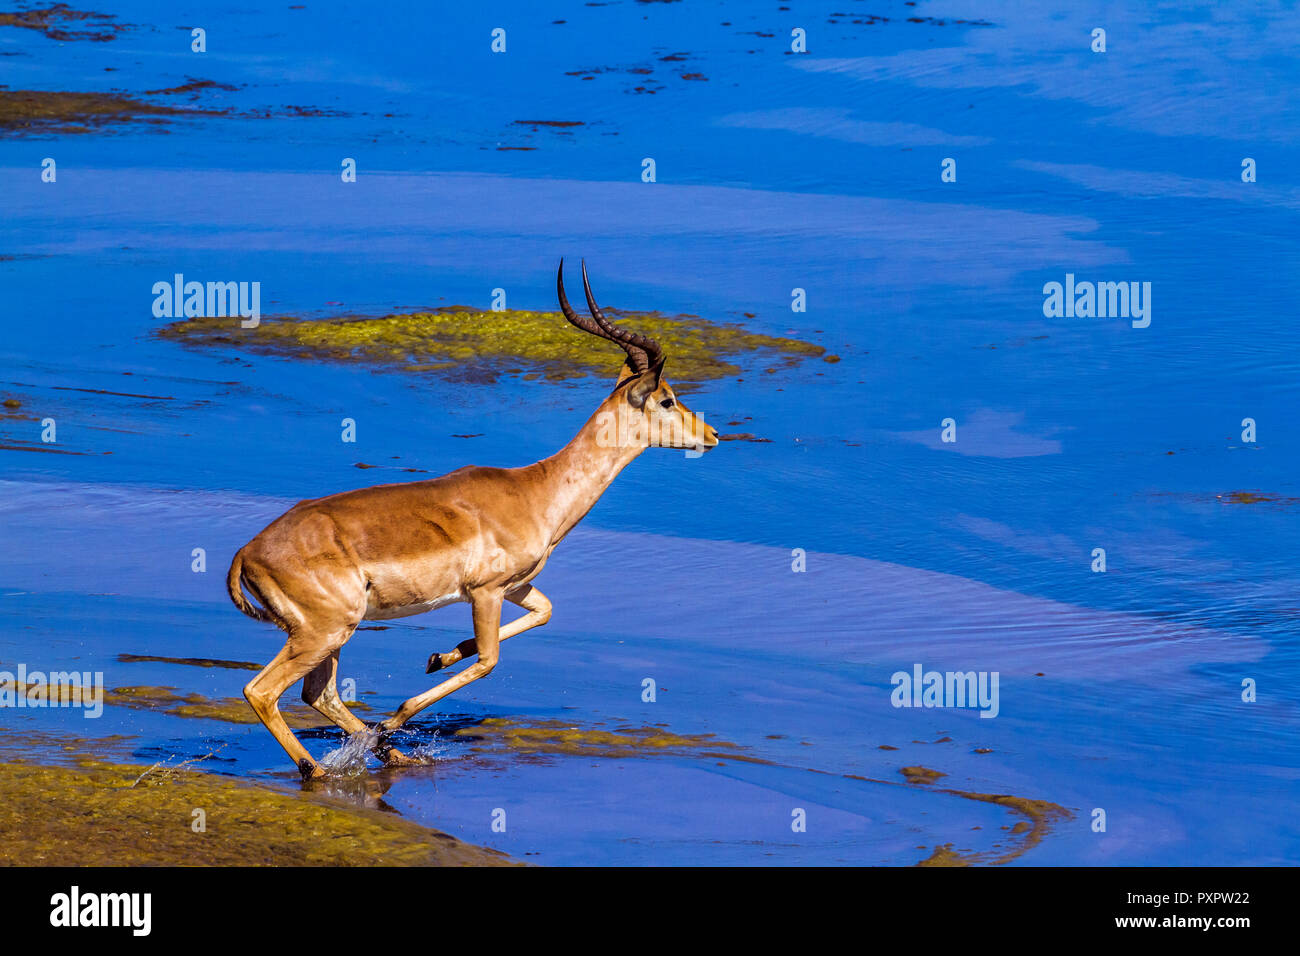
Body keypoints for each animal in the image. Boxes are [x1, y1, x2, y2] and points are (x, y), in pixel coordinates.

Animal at [227, 261, 720, 777]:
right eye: (667, 399)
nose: (710, 433)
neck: (535, 491)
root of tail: (247, 553)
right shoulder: (486, 592)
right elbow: (488, 660)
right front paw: (398, 713)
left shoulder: (516, 587)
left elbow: (543, 612)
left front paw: (438, 657)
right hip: (324, 631)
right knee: (262, 690)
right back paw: (327, 765)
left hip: (333, 634)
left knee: (316, 694)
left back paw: (390, 752)